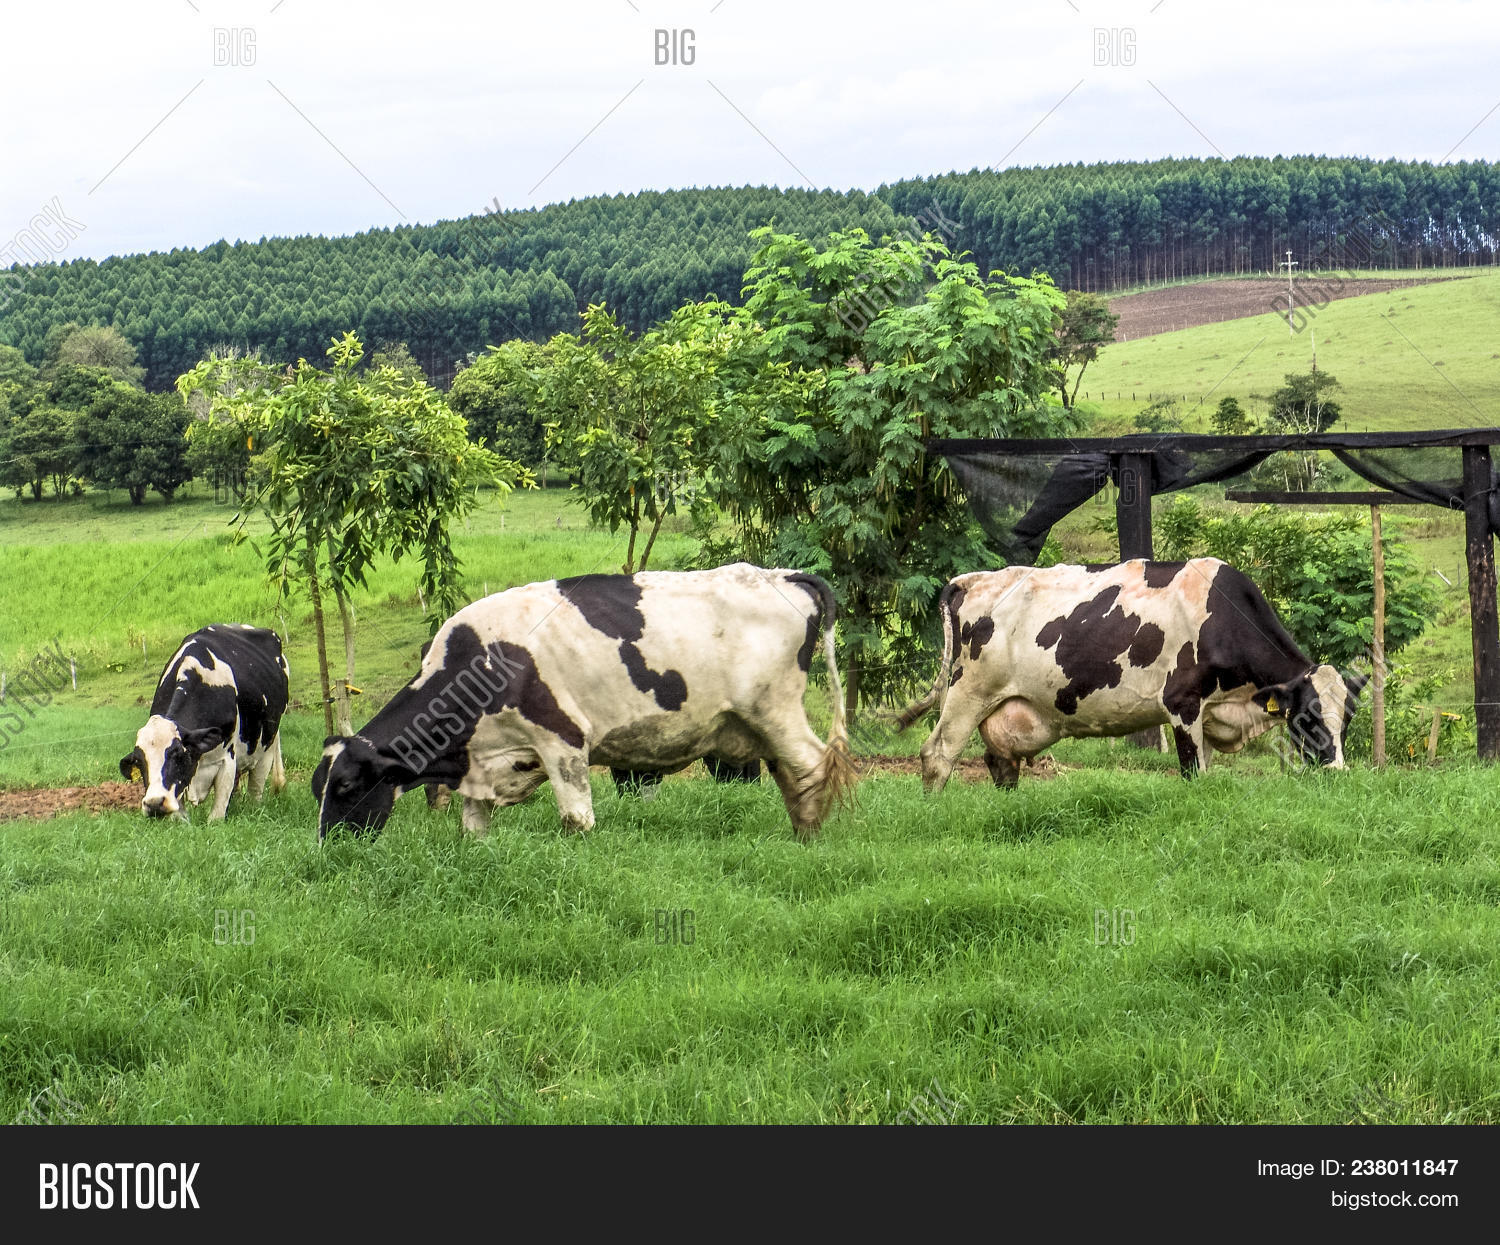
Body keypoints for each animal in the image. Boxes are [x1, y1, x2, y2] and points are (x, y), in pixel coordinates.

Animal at [119, 624, 290, 820]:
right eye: (139, 762)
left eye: (178, 755)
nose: (154, 803)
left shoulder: (227, 759)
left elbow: (217, 816)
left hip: (268, 740)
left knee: (257, 785)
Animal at [313, 564, 856, 840]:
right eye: (319, 786)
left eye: (345, 786)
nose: (330, 847)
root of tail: (782, 574)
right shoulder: (484, 761)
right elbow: (473, 828)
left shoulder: (563, 740)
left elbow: (577, 821)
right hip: (759, 723)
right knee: (789, 771)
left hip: (775, 709)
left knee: (809, 765)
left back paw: (808, 837)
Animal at [895, 558, 1366, 790]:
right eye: (1306, 719)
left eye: (1346, 720)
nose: (1338, 772)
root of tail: (973, 579)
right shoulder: (1181, 703)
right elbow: (1193, 774)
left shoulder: (1209, 712)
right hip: (968, 692)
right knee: (937, 755)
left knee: (1001, 762)